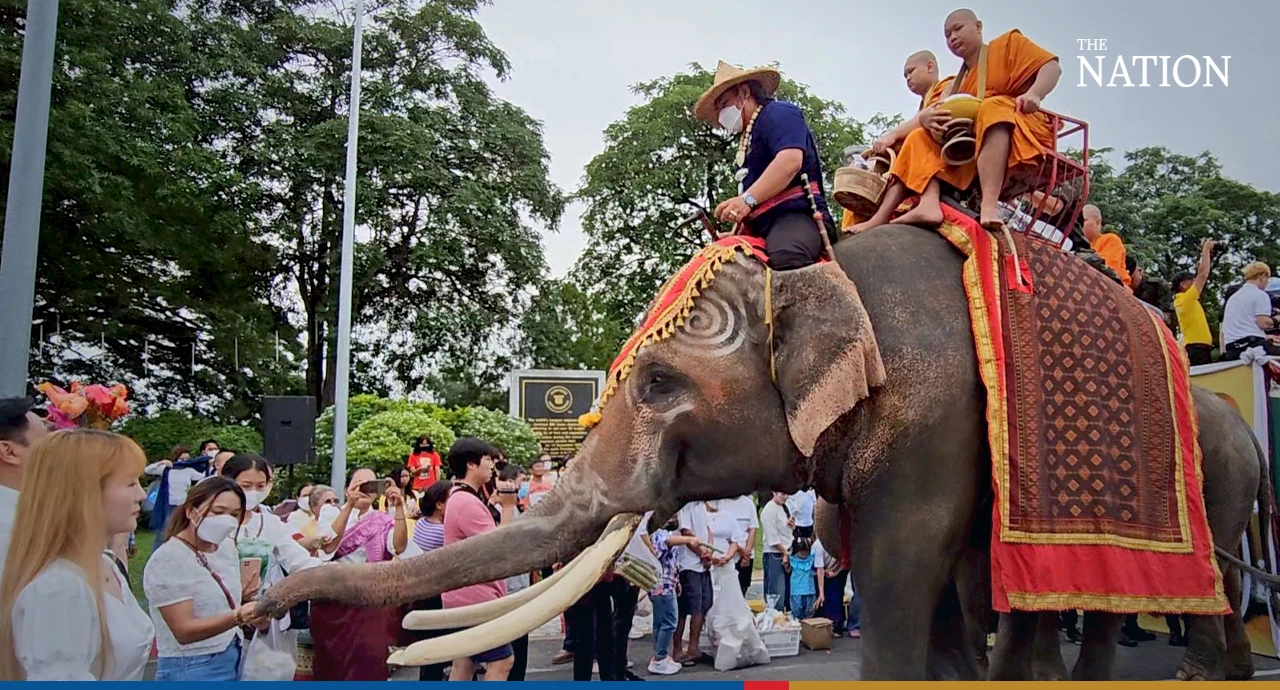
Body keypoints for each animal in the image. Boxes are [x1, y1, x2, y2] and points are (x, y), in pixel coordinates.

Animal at [255, 225, 1266, 680]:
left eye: (659, 383)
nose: (263, 603)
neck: (823, 267)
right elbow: (920, 565)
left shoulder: (936, 410)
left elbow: (904, 560)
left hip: (1207, 487)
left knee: (1199, 579)